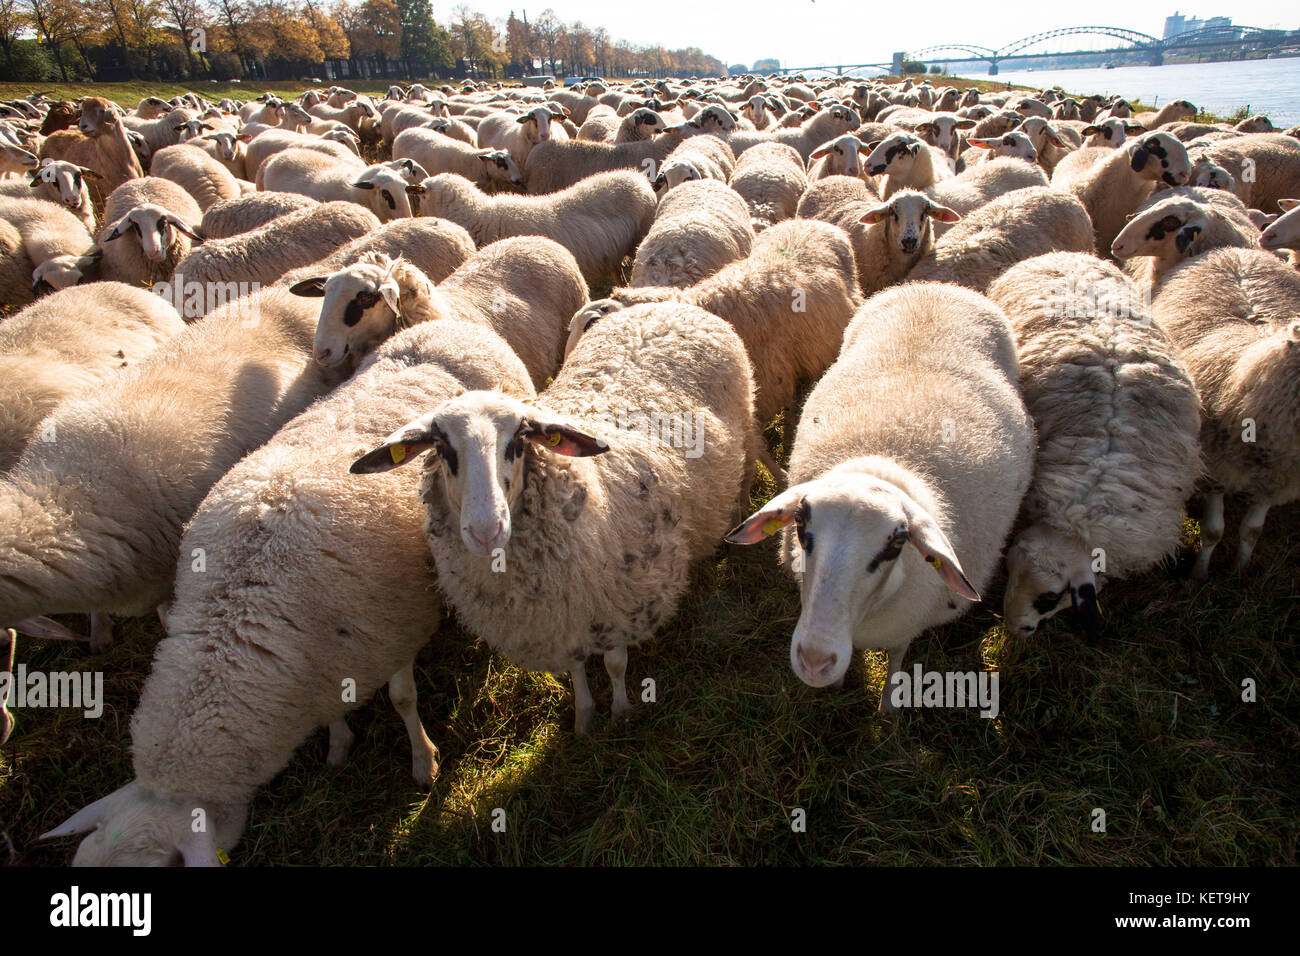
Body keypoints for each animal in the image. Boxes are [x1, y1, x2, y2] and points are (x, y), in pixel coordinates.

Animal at [41, 316, 539, 866]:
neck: (237, 618)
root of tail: (447, 324)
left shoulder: (395, 626)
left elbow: (403, 699)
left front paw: (423, 763)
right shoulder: (326, 663)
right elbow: (333, 710)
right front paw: (339, 745)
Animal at [349, 300, 756, 735]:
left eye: (518, 439)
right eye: (442, 448)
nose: (486, 529)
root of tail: (664, 306)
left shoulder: (620, 601)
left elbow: (615, 664)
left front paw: (621, 712)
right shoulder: (560, 621)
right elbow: (577, 669)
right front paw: (584, 718)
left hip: (745, 428)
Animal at [725, 282, 1034, 705]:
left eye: (896, 544)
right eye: (802, 528)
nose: (816, 662)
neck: (880, 464)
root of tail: (935, 287)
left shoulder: (909, 622)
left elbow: (898, 657)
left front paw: (890, 705)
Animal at [1150, 248, 1300, 578]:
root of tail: (1235, 252)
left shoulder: (1275, 482)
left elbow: (1252, 531)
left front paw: (1240, 570)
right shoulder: (1216, 470)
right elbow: (1213, 531)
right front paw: (1199, 573)